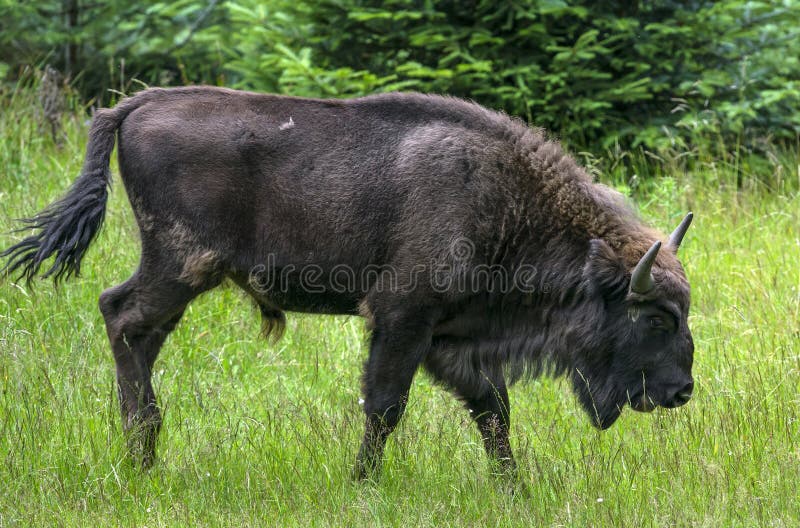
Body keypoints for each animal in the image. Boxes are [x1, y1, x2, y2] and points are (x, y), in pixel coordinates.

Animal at [1, 87, 694, 479]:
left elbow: (493, 412)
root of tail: (135, 105)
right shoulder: (402, 320)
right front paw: (362, 482)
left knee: (136, 330)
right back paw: (143, 454)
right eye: (655, 317)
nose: (682, 390)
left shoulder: (452, 341)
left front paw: (514, 488)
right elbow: (385, 406)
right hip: (181, 265)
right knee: (123, 316)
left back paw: (142, 458)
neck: (502, 201)